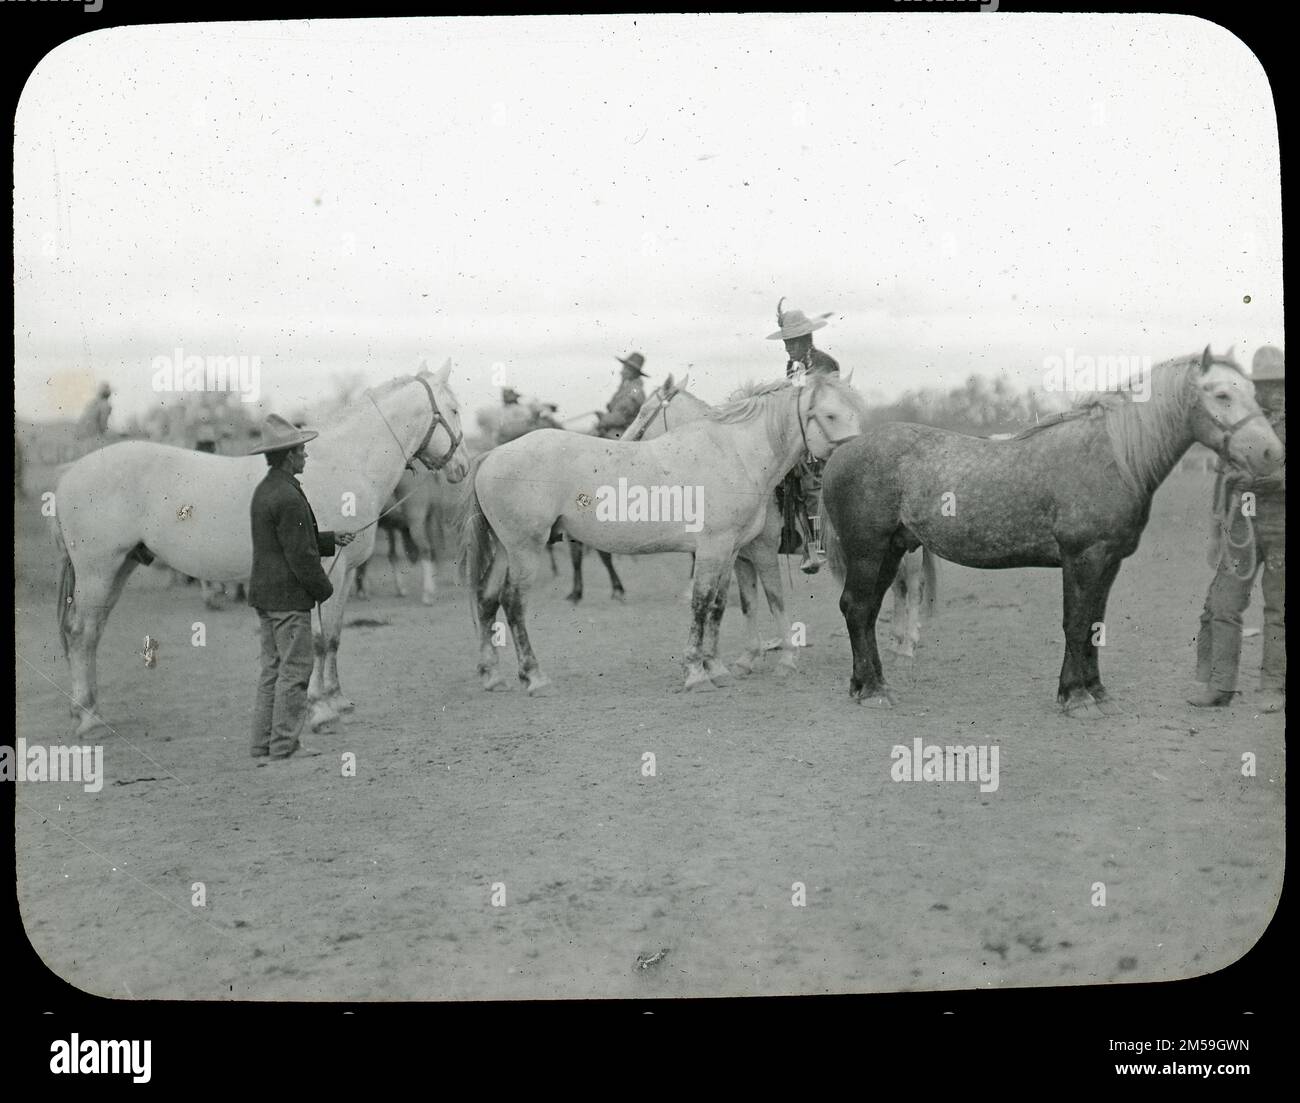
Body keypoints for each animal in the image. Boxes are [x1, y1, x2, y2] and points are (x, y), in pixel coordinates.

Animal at [52, 360, 470, 737]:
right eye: (453, 409)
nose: (463, 468)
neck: (344, 464)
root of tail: (71, 472)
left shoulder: (345, 572)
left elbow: (334, 638)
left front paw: (336, 701)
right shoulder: (326, 570)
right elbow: (318, 640)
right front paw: (320, 711)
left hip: (120, 567)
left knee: (92, 633)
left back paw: (88, 711)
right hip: (98, 571)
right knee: (81, 633)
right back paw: (88, 719)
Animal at [461, 373, 868, 692]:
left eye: (855, 412)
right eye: (830, 415)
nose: (853, 459)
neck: (732, 453)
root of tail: (492, 455)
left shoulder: (731, 552)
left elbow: (720, 605)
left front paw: (716, 668)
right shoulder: (717, 549)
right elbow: (704, 603)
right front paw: (695, 672)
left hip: (504, 550)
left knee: (487, 599)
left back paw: (492, 676)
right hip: (524, 550)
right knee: (513, 602)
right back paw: (534, 677)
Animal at [625, 374, 939, 675]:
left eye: (643, 412)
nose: (625, 440)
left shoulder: (763, 552)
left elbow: (774, 600)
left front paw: (786, 659)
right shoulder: (740, 557)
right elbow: (744, 603)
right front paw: (746, 658)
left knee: (913, 587)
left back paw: (907, 648)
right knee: (897, 587)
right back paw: (895, 642)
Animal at [820, 348, 1284, 717]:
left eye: (1253, 392)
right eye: (1221, 394)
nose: (1271, 453)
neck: (1112, 456)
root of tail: (843, 450)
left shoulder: (1108, 562)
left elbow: (1094, 624)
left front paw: (1095, 692)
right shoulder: (1083, 558)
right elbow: (1075, 623)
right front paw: (1076, 698)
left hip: (892, 550)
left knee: (865, 611)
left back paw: (867, 684)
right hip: (868, 551)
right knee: (856, 608)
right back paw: (873, 690)